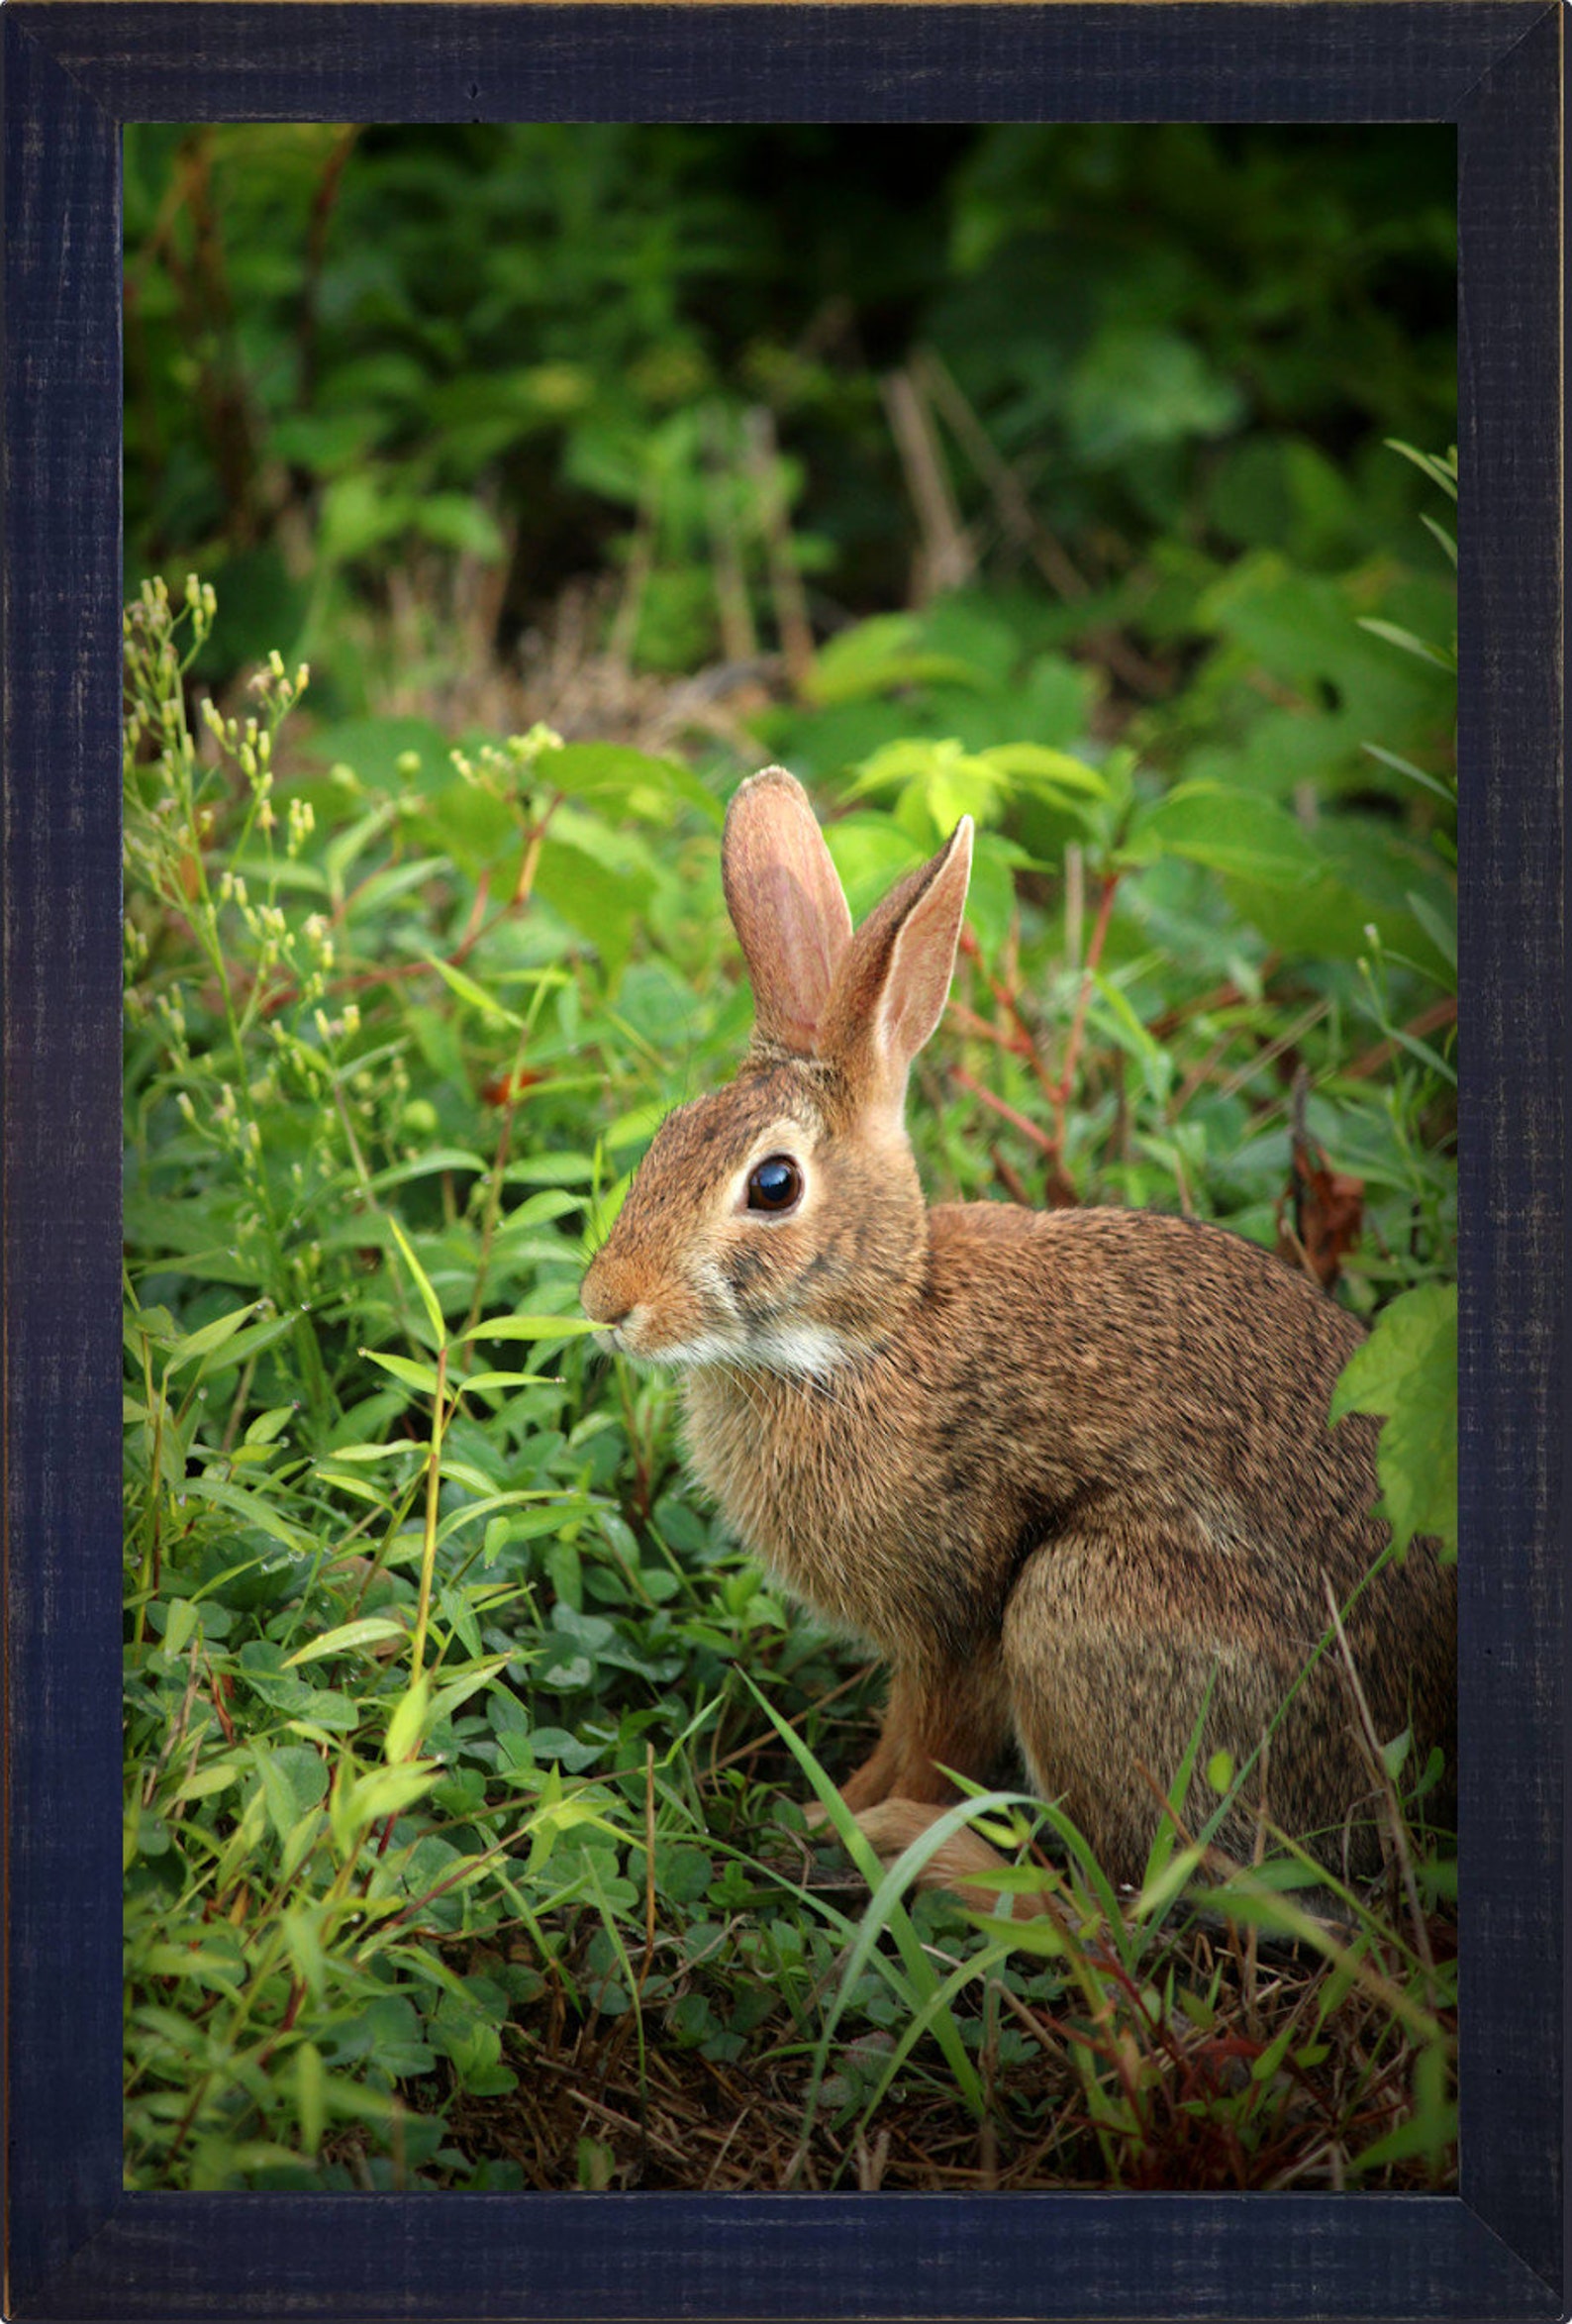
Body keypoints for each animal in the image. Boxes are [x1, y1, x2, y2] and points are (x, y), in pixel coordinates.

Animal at [579, 765, 1456, 1911]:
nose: (606, 1303)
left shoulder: (953, 1621)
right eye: (668, 1132)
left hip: (1076, 1612)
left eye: (772, 1185)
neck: (871, 1332)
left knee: (1128, 1896)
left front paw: (834, 1814)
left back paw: (926, 1853)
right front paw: (822, 1809)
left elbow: (922, 1742)